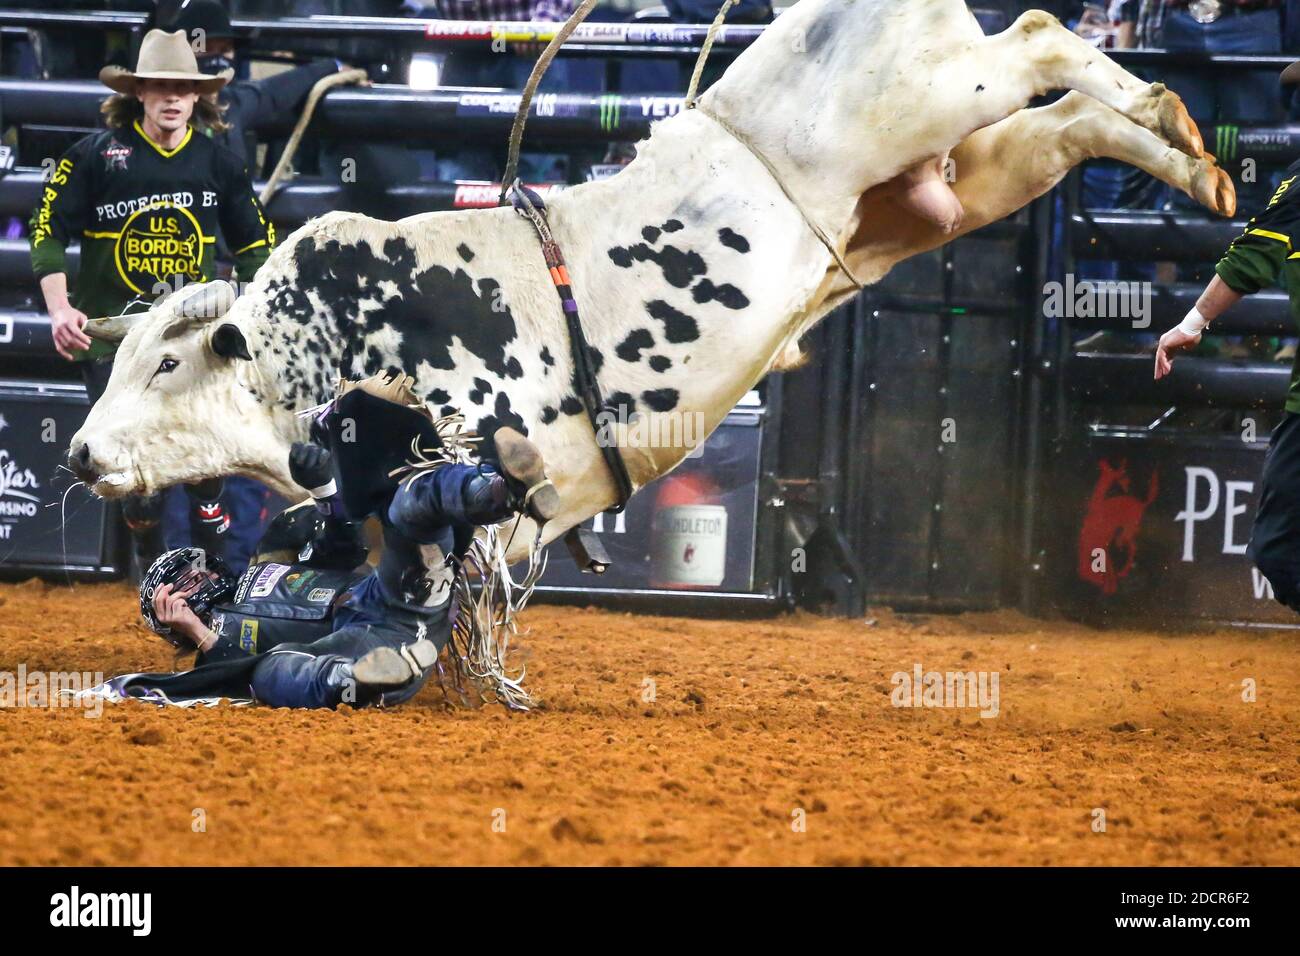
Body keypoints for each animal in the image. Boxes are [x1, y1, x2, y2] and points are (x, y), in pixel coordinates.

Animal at [67, 0, 1233, 560]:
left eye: (164, 363)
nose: (78, 451)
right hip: (947, 183)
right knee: (1070, 122)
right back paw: (1195, 157)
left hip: (941, 91)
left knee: (1038, 42)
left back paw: (1176, 121)